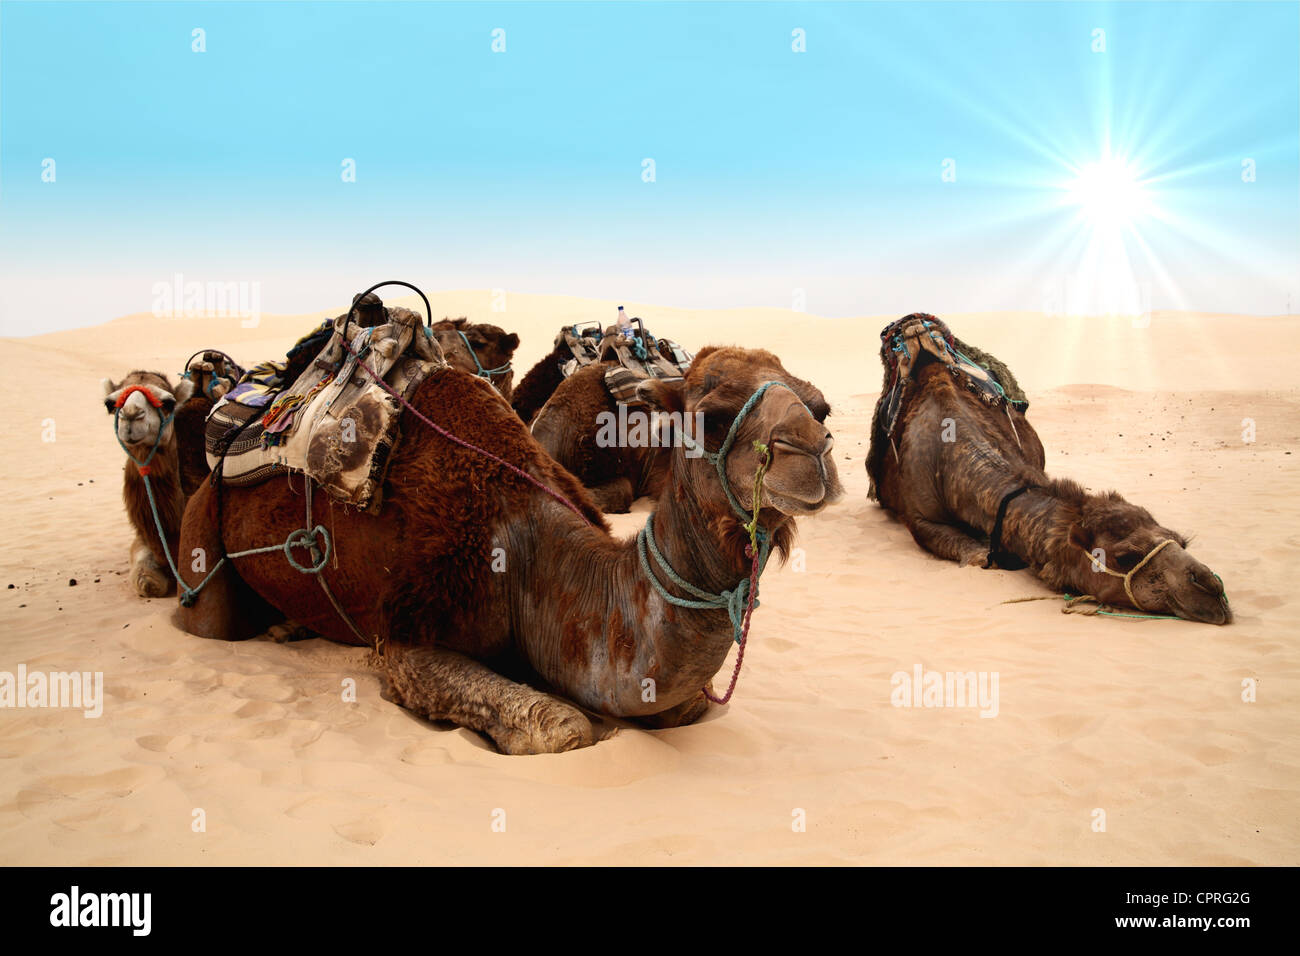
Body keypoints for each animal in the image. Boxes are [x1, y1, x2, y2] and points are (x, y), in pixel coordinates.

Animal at [176, 345, 841, 753]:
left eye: (819, 405)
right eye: (712, 413)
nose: (812, 451)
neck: (526, 556)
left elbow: (686, 705)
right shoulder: (408, 632)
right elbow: (563, 725)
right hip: (200, 536)